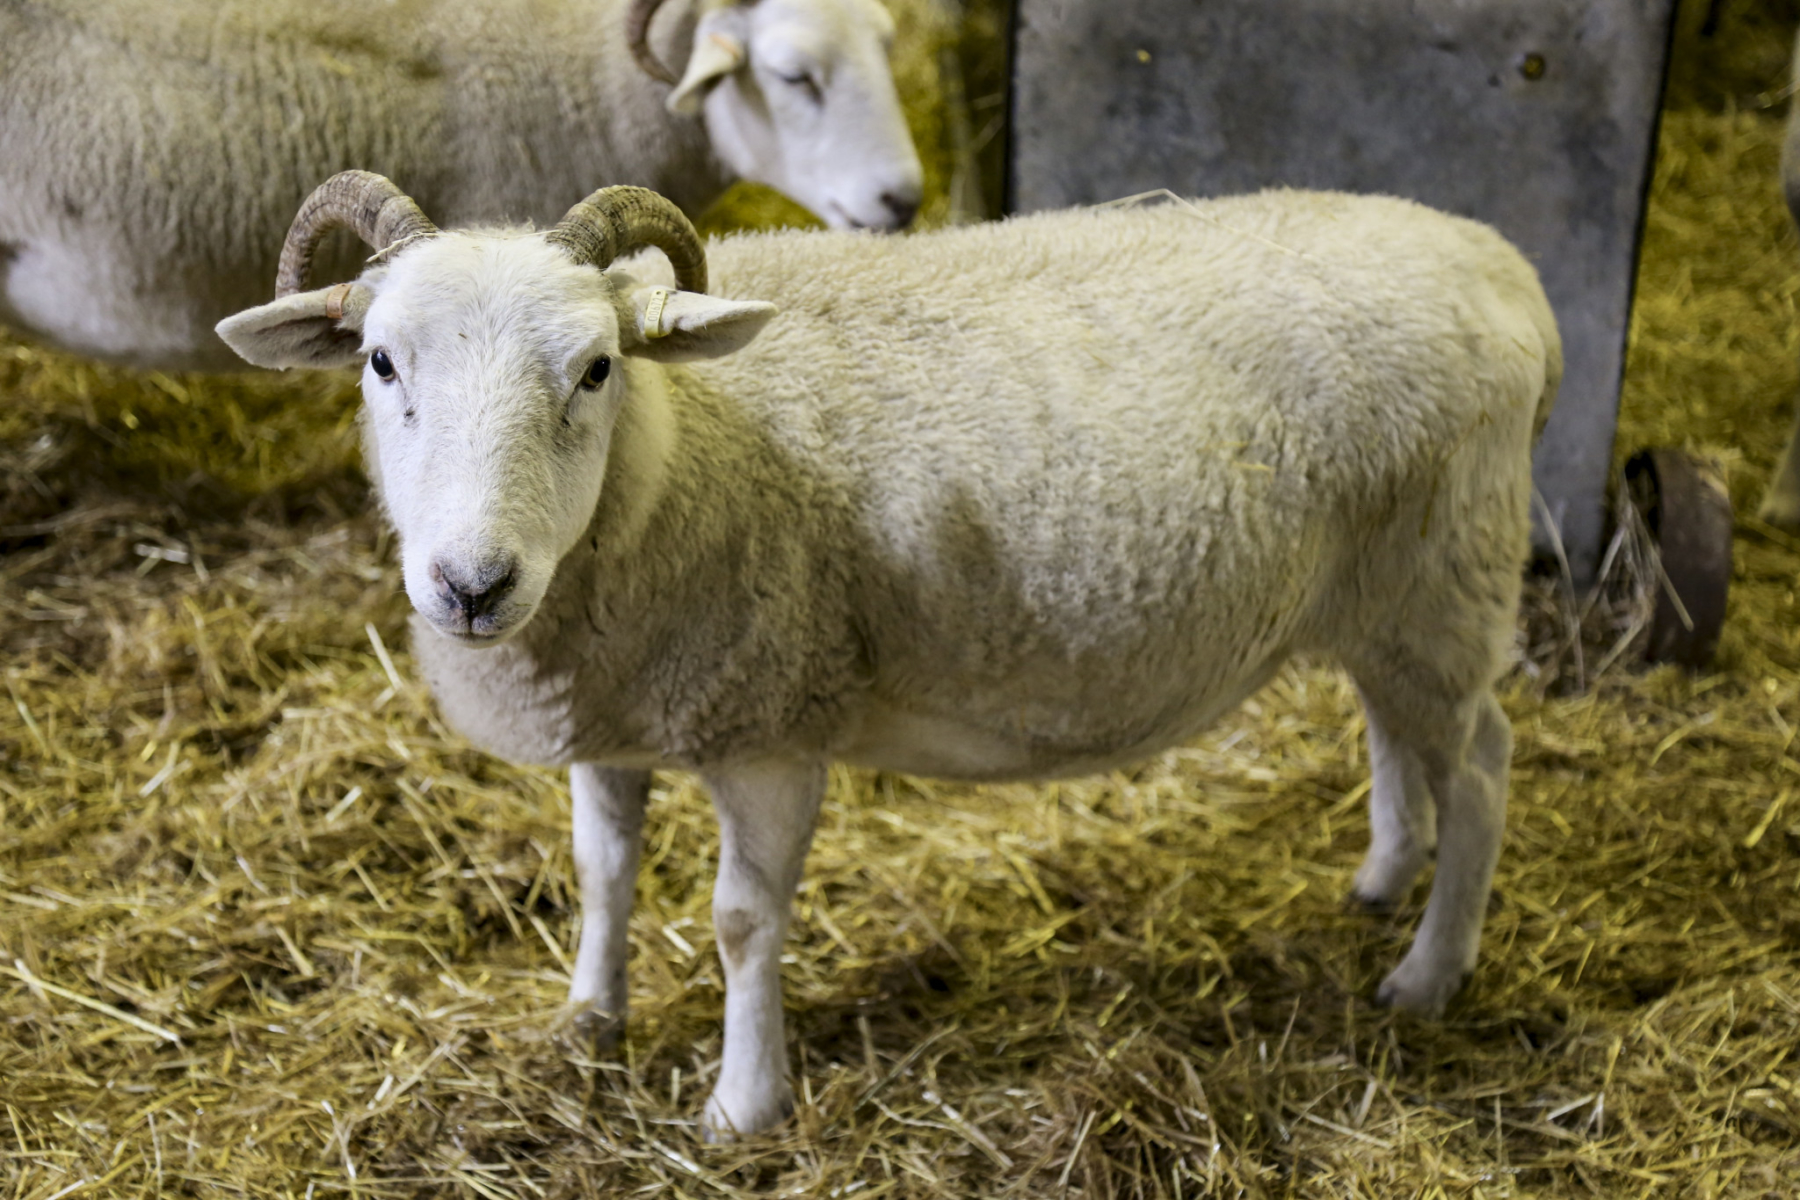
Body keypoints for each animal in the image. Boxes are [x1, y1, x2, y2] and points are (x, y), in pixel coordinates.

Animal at [216, 171, 1562, 1138]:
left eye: (595, 369)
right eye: (381, 361)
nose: (473, 587)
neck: (677, 448)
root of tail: (1510, 274)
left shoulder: (771, 720)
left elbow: (740, 922)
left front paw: (743, 1106)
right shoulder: (617, 706)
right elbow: (602, 873)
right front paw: (590, 1020)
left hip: (1448, 580)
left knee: (1485, 766)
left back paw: (1429, 972)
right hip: (1382, 595)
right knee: (1399, 732)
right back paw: (1384, 873)